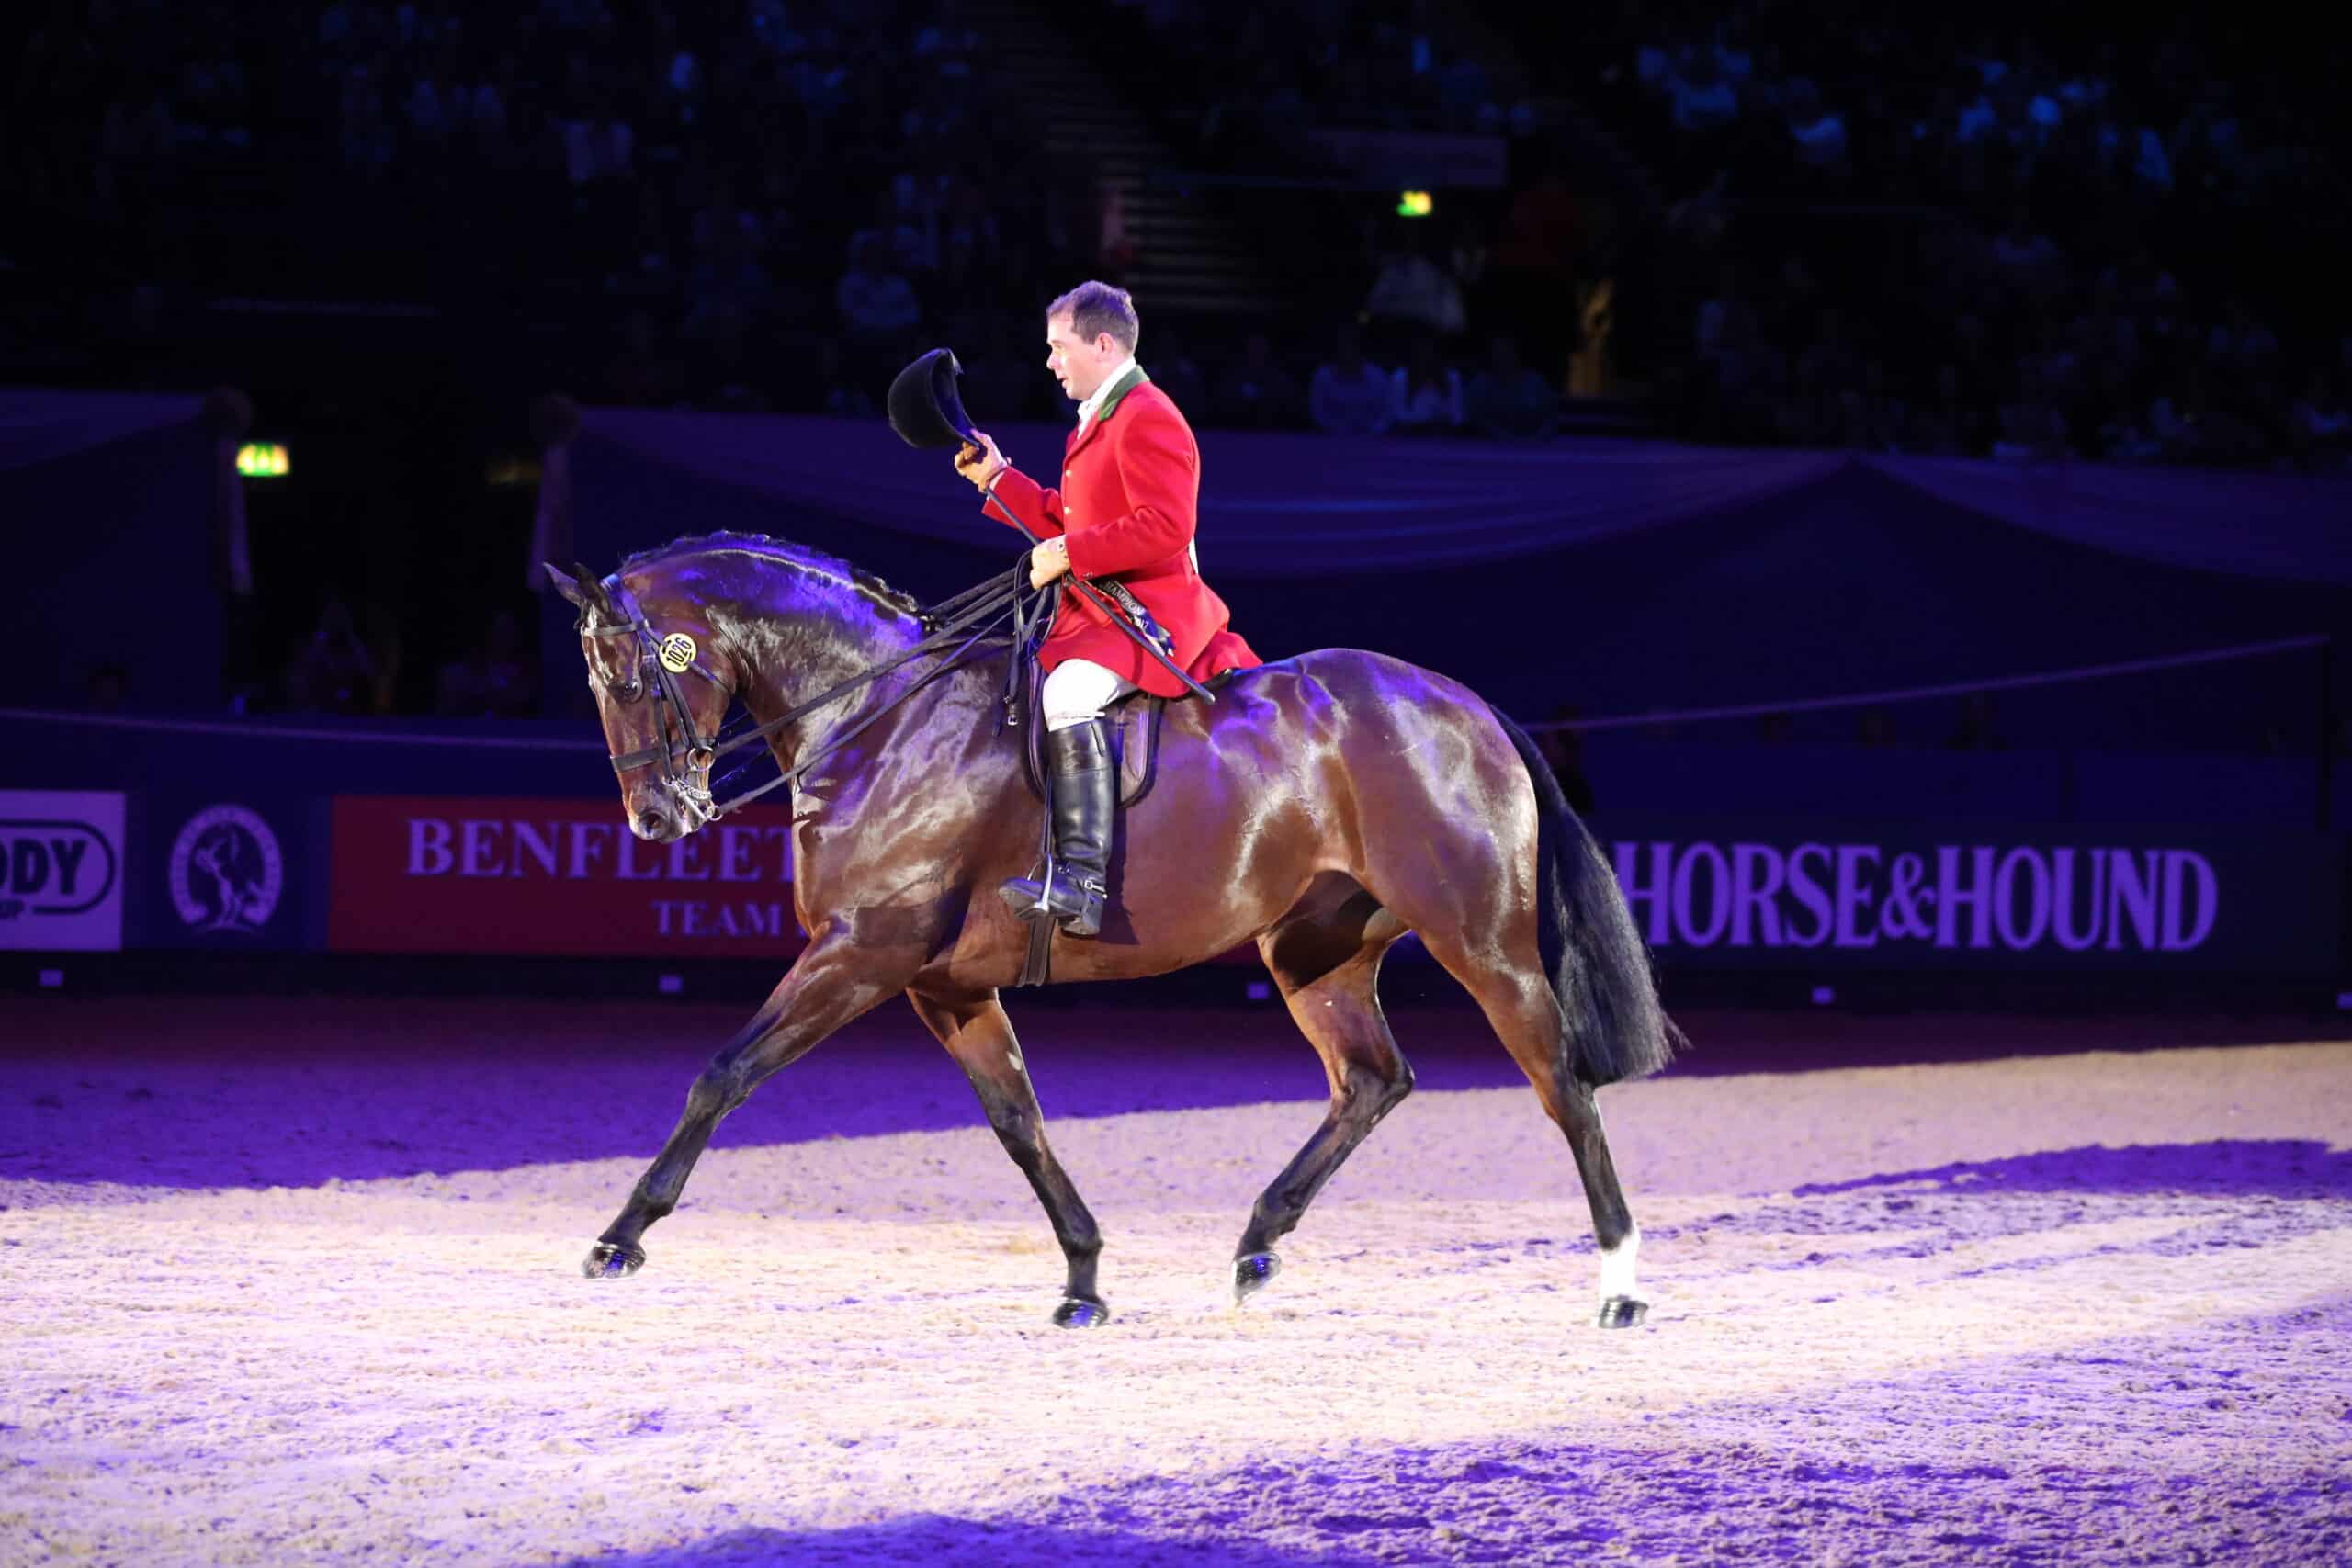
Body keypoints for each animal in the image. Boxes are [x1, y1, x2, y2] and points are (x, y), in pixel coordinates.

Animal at [543, 531, 1681, 1330]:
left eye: (627, 675)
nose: (658, 820)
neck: (883, 722)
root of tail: (1467, 707)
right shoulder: (943, 985)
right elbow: (1019, 1124)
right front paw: (1084, 1277)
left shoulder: (862, 953)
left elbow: (724, 1073)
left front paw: (619, 1238)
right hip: (1312, 952)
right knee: (1371, 1081)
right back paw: (1255, 1248)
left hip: (1481, 944)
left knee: (1560, 1087)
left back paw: (1620, 1283)